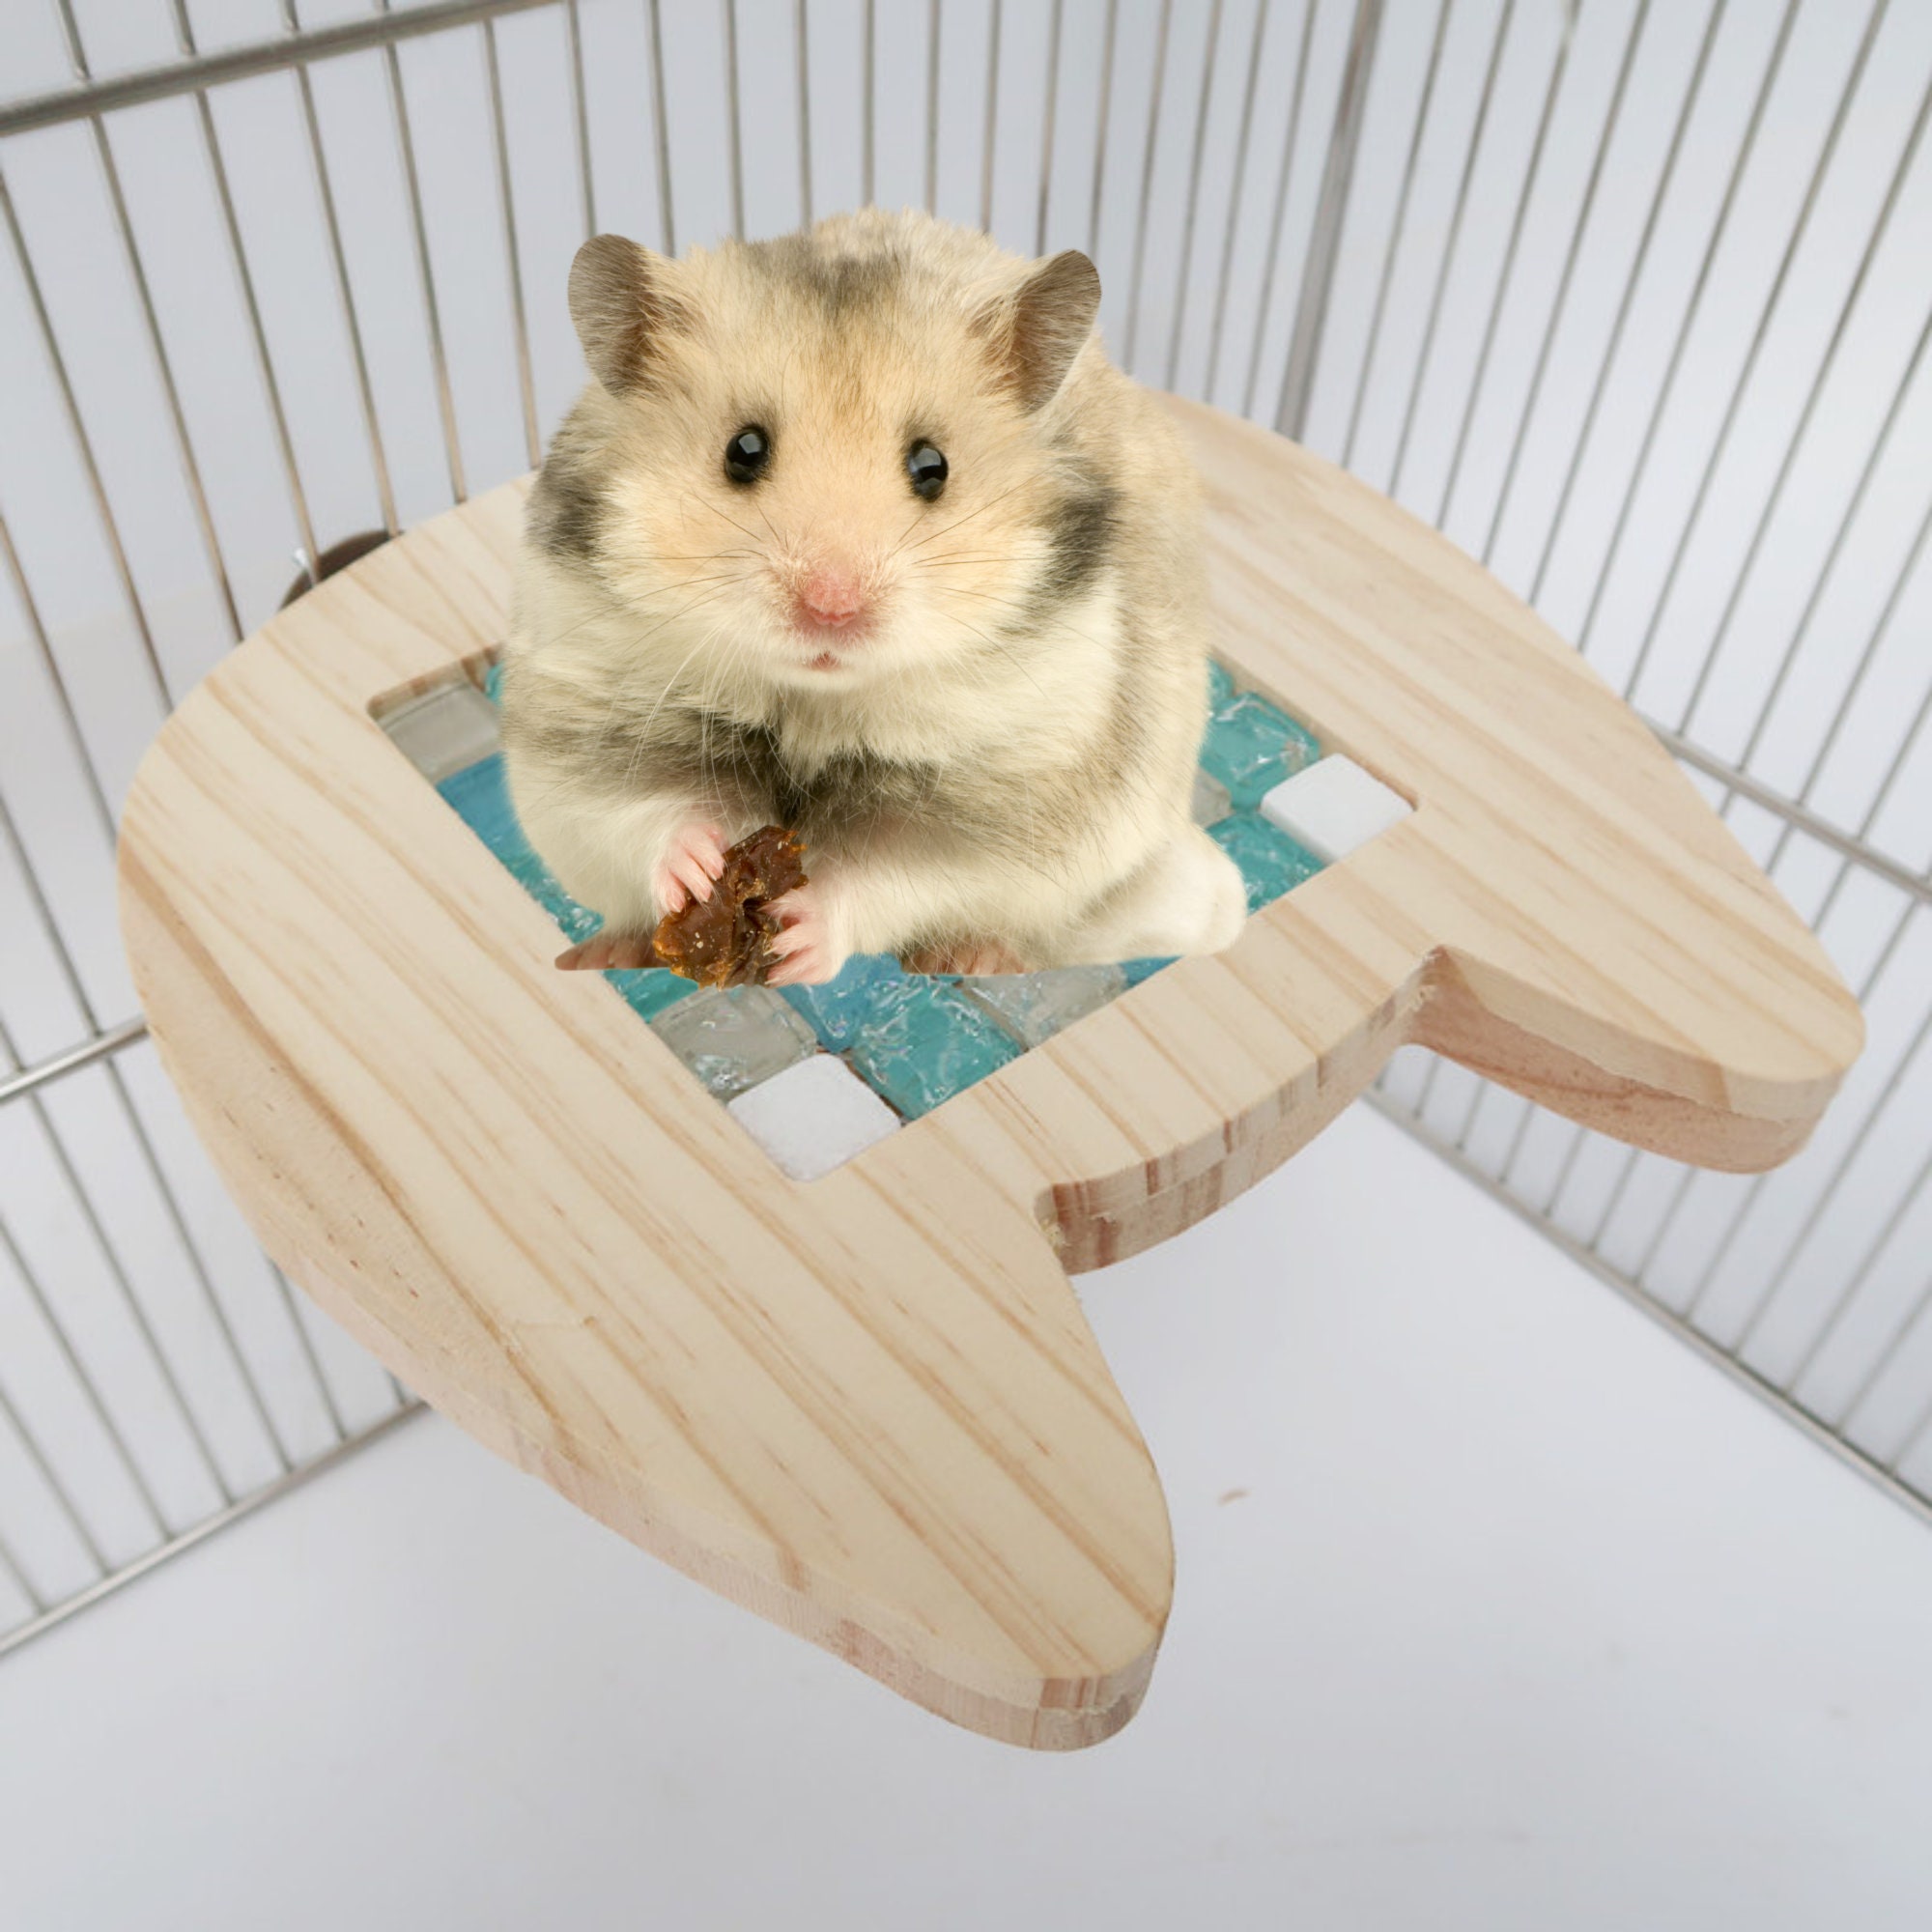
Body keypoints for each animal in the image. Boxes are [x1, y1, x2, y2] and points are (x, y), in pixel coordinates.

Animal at [501, 207, 1245, 986]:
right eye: (743, 450)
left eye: (932, 466)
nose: (831, 609)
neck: (816, 698)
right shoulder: (599, 723)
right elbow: (648, 811)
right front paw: (700, 872)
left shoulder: (991, 792)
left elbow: (885, 875)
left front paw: (799, 938)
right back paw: (603, 953)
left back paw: (975, 958)